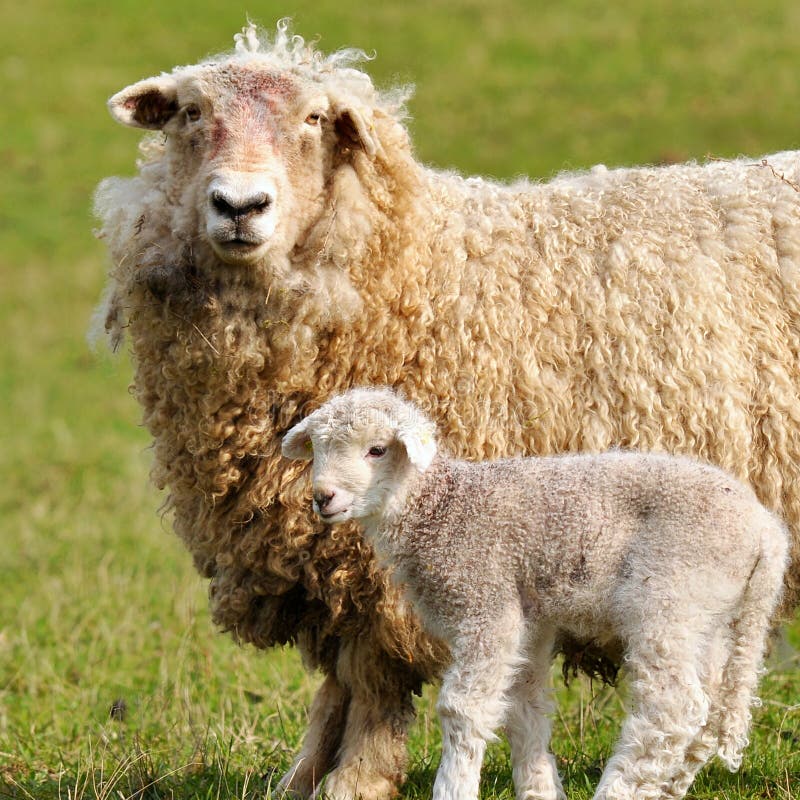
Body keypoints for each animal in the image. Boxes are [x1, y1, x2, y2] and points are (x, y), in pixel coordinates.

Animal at [282, 387, 789, 800]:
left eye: (377, 449)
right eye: (318, 449)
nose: (322, 498)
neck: (442, 507)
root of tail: (767, 533)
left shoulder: (486, 603)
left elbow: (462, 709)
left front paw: (454, 787)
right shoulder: (530, 619)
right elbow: (523, 707)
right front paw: (539, 788)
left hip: (669, 593)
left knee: (673, 706)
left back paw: (619, 789)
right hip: (713, 614)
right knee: (708, 711)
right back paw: (665, 788)